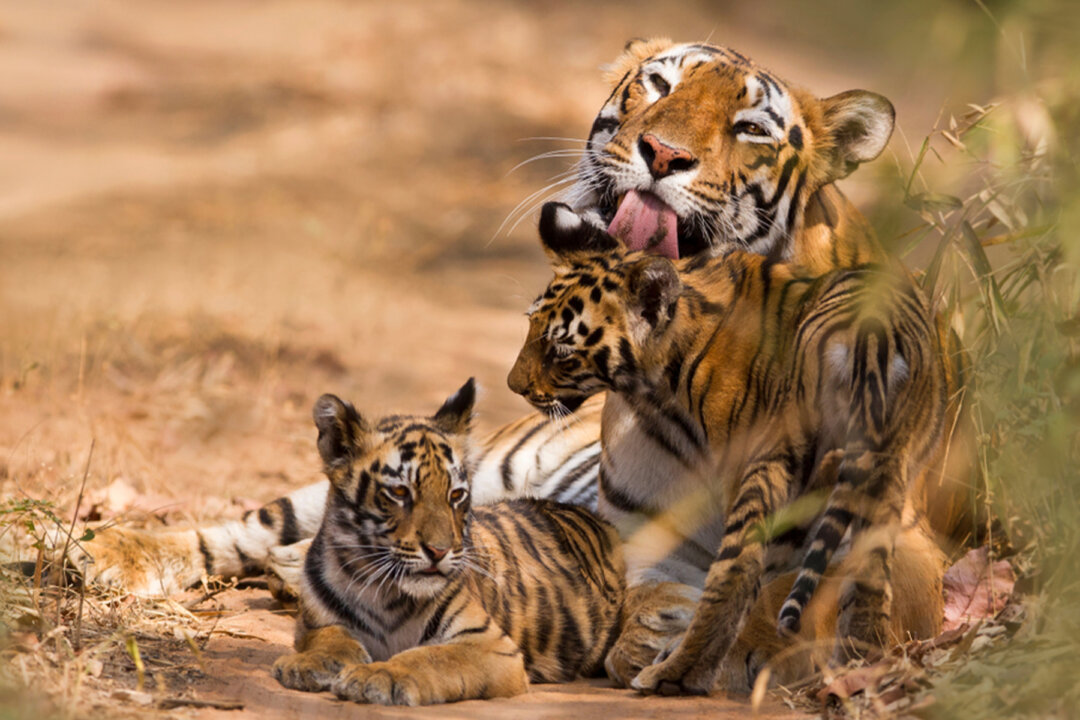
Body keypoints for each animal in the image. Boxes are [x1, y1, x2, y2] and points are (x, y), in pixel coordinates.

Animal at [272, 378, 625, 706]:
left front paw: (378, 675)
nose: (438, 551)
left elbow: (429, 657)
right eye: (399, 492)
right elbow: (330, 638)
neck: (380, 591)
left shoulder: (489, 645)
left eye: (455, 495)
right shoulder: (315, 623)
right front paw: (305, 664)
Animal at [507, 202, 954, 695]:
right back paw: (859, 664)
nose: (514, 385)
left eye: (562, 352)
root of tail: (870, 336)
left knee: (739, 577)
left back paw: (676, 673)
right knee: (868, 576)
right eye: (529, 326)